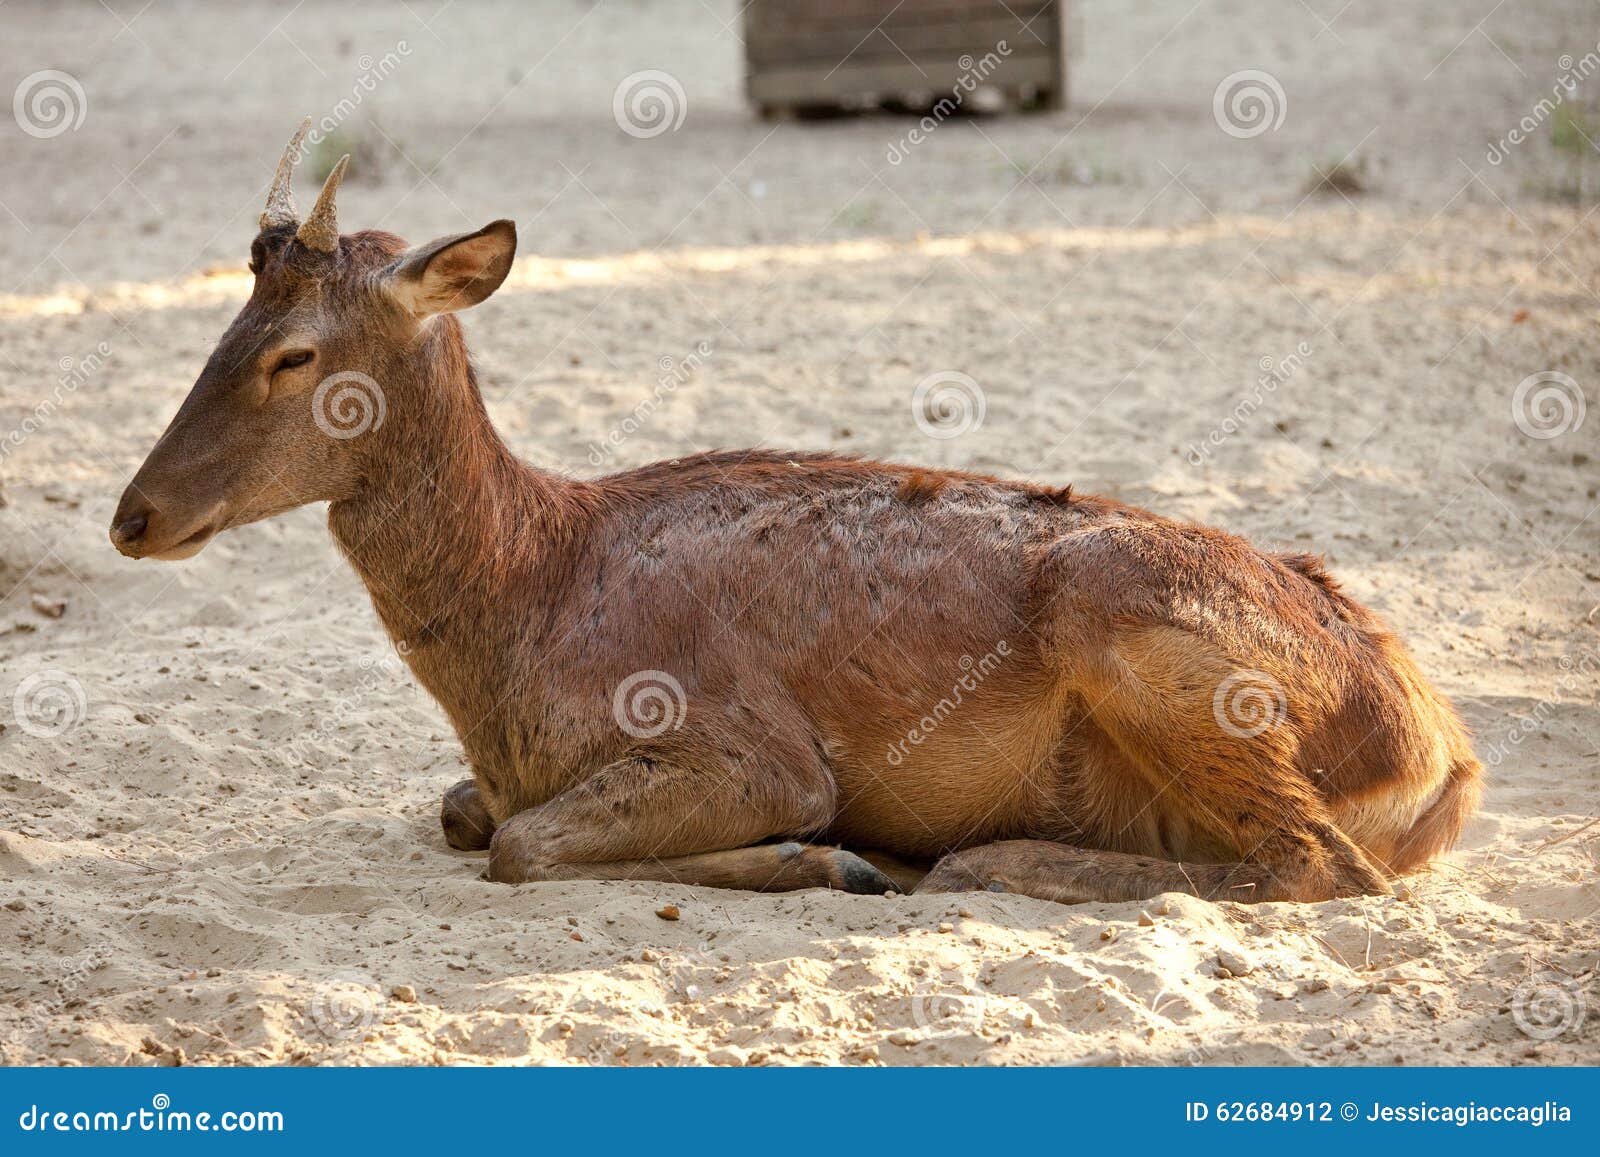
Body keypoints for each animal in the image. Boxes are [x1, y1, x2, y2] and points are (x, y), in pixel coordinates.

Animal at [109, 121, 1482, 906]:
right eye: (229, 316)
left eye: (293, 352)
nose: (132, 515)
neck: (523, 621)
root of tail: (1442, 754)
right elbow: (469, 815)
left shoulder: (746, 739)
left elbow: (519, 844)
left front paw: (819, 853)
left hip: (1136, 626)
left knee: (1322, 862)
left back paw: (978, 861)